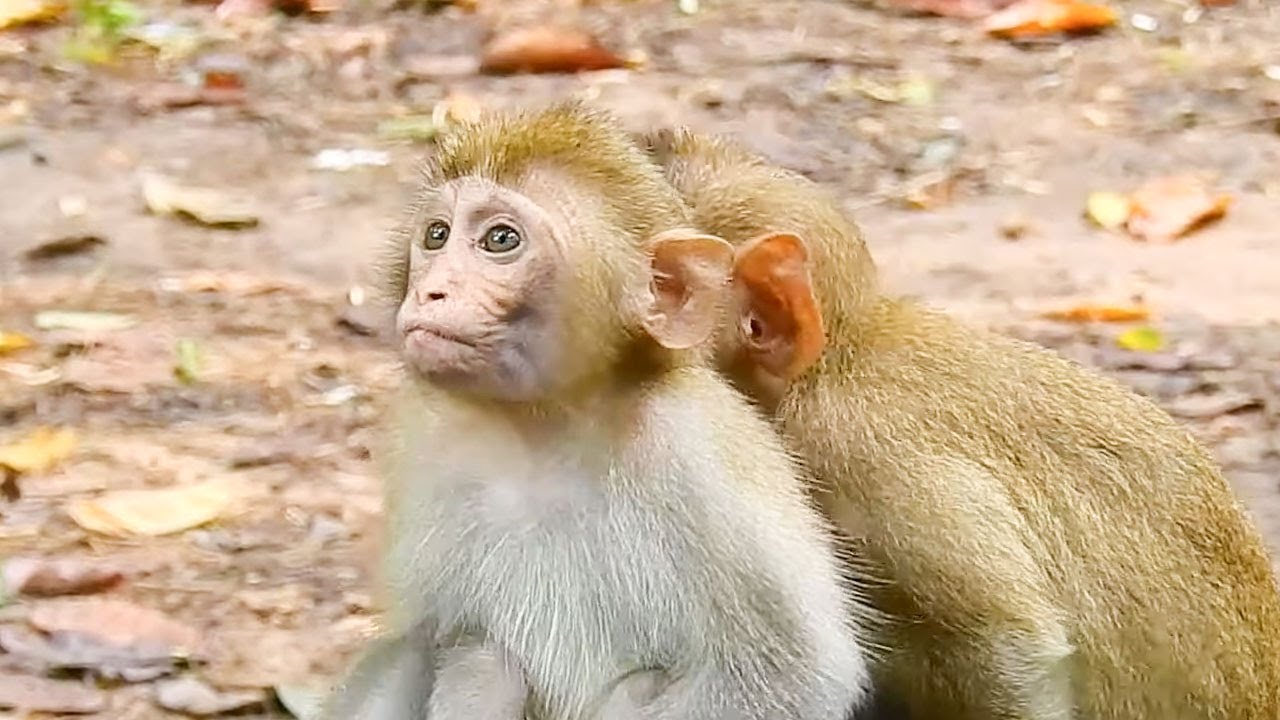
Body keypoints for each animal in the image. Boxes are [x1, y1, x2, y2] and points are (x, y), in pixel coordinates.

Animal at [318, 102, 875, 720]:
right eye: (436, 236)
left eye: (500, 240)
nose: (432, 291)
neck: (543, 429)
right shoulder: (425, 441)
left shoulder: (699, 449)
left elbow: (790, 672)